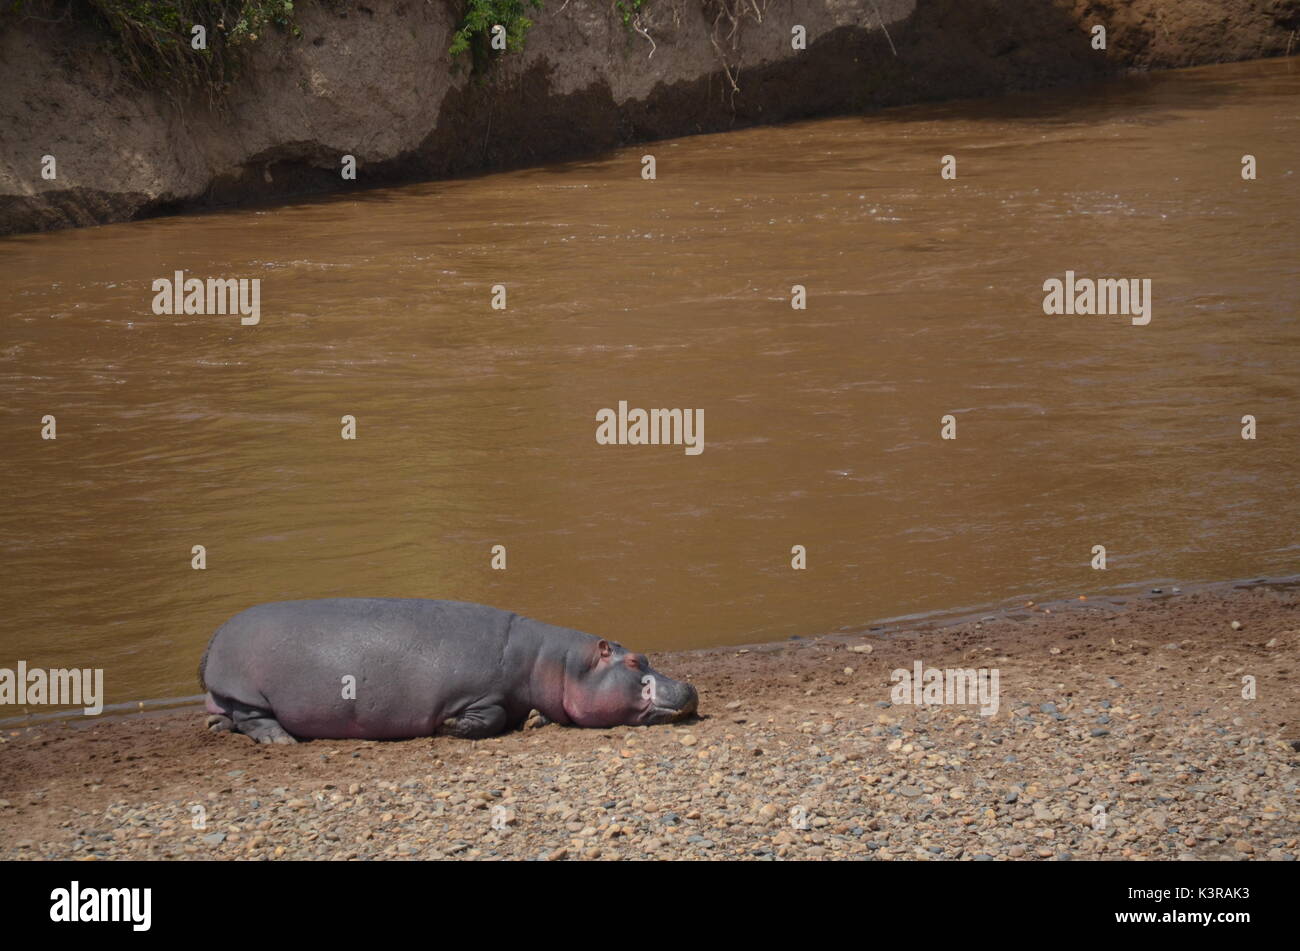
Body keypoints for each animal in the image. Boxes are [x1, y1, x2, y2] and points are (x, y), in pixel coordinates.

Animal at [198, 598, 698, 743]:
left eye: (646, 658)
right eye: (634, 661)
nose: (690, 687)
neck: (555, 663)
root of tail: (215, 636)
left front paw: (534, 719)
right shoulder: (479, 694)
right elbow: (489, 716)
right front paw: (450, 727)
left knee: (229, 716)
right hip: (244, 688)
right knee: (252, 717)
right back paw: (280, 739)